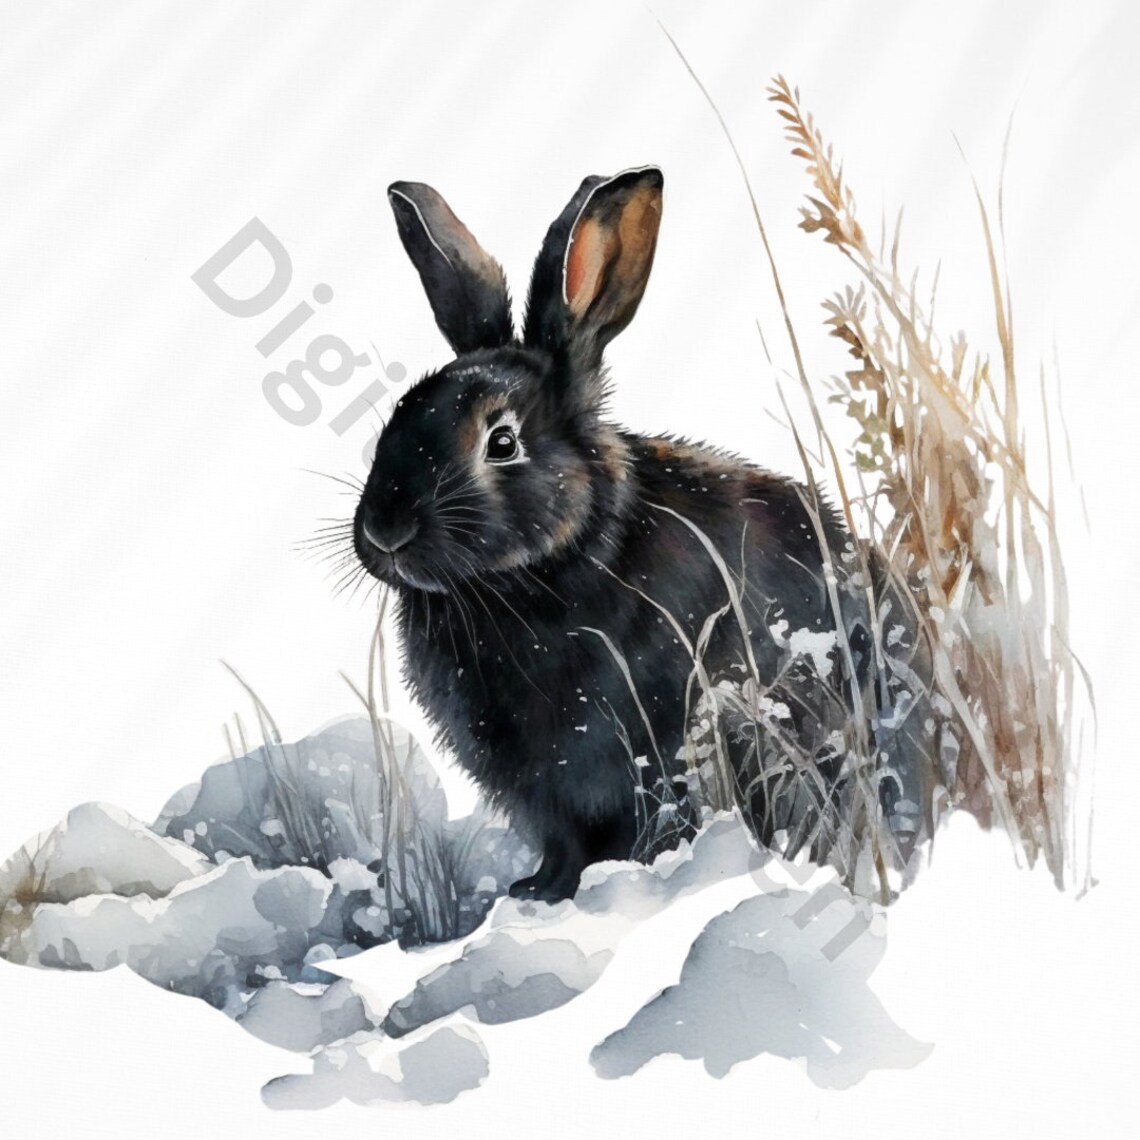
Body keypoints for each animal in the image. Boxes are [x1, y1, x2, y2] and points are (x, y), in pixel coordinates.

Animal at [353, 166, 933, 902]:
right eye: (397, 416)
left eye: (502, 442)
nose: (383, 532)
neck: (536, 574)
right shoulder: (547, 796)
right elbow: (562, 844)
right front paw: (534, 889)